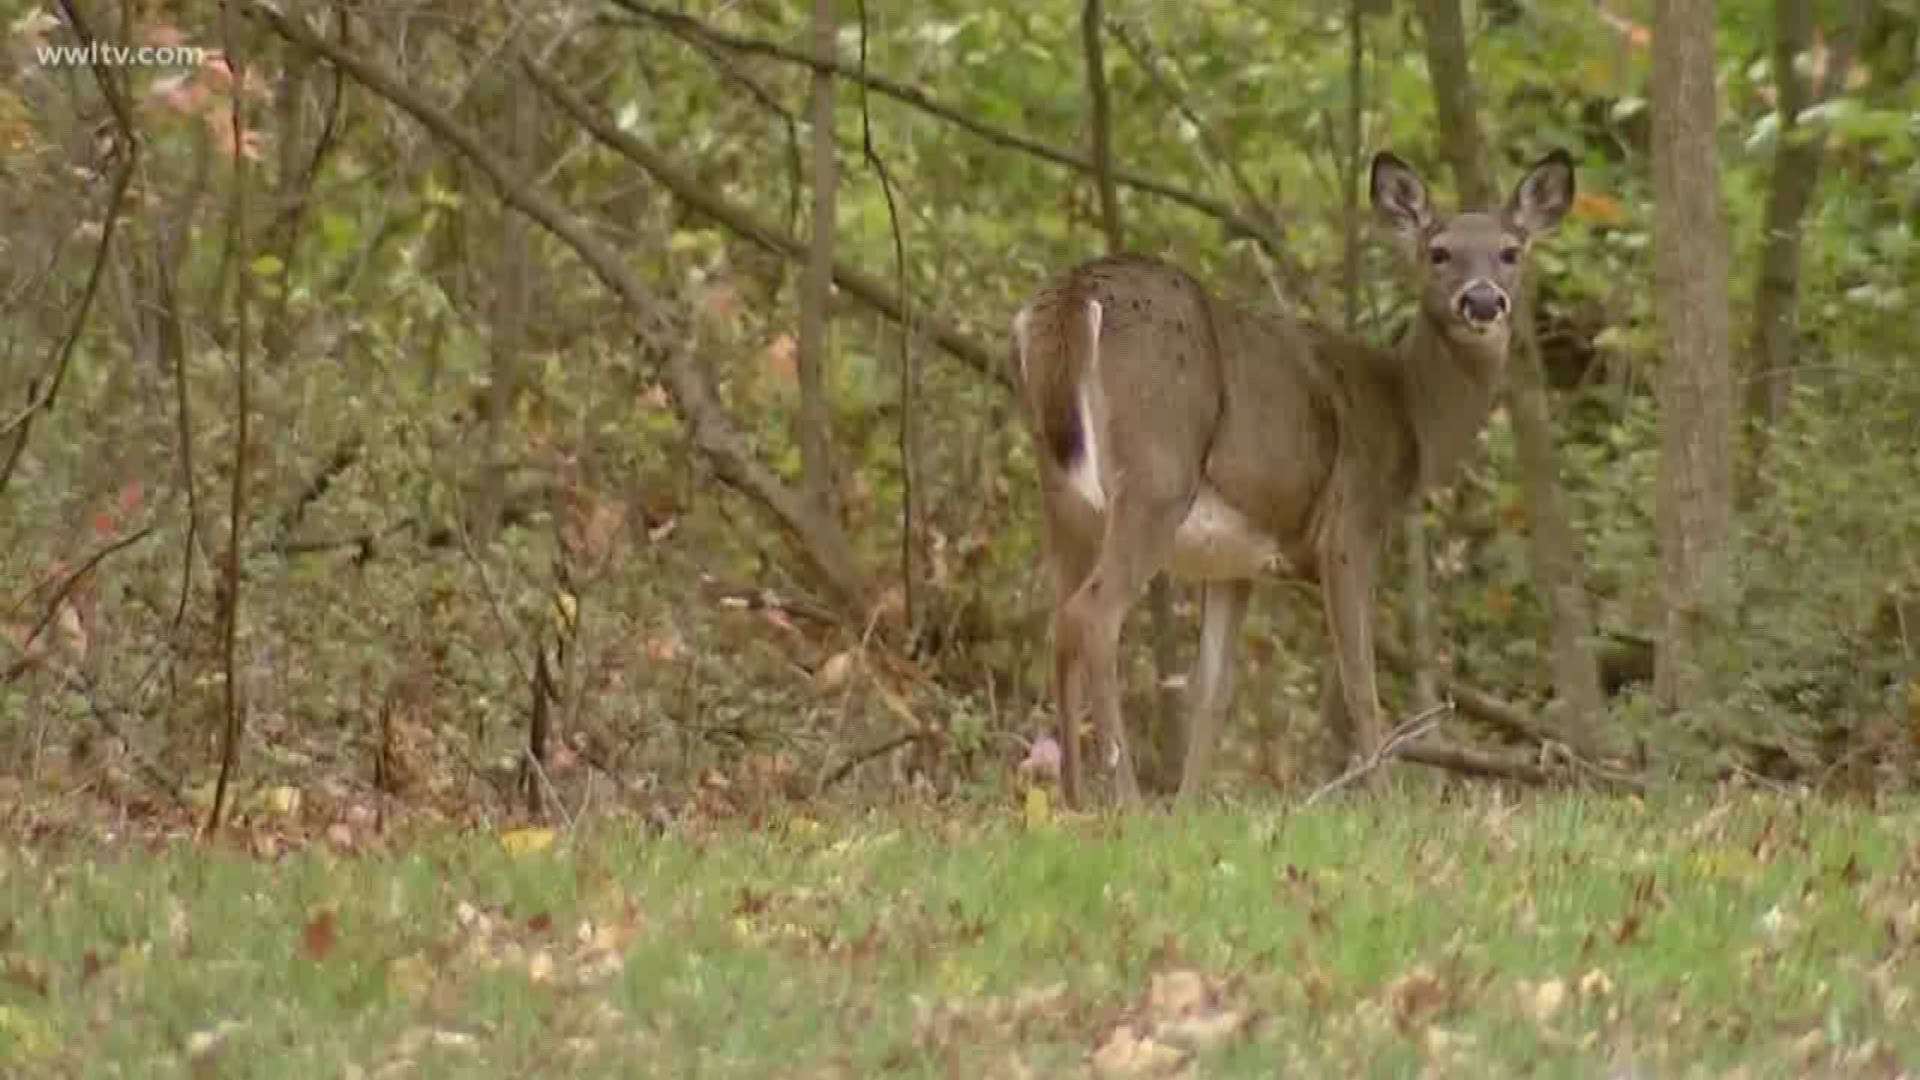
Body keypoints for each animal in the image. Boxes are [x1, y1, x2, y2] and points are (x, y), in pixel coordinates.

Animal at [1010, 148, 1574, 807]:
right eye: (1439, 252)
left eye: (1511, 251)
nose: (1482, 302)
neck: (1407, 411)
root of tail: (1072, 295)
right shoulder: (1351, 525)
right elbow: (1359, 681)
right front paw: (1384, 800)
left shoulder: (1235, 560)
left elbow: (1212, 690)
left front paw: (1189, 808)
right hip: (1156, 473)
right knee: (1093, 615)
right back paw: (1125, 798)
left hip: (1062, 491)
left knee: (1059, 618)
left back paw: (1074, 801)